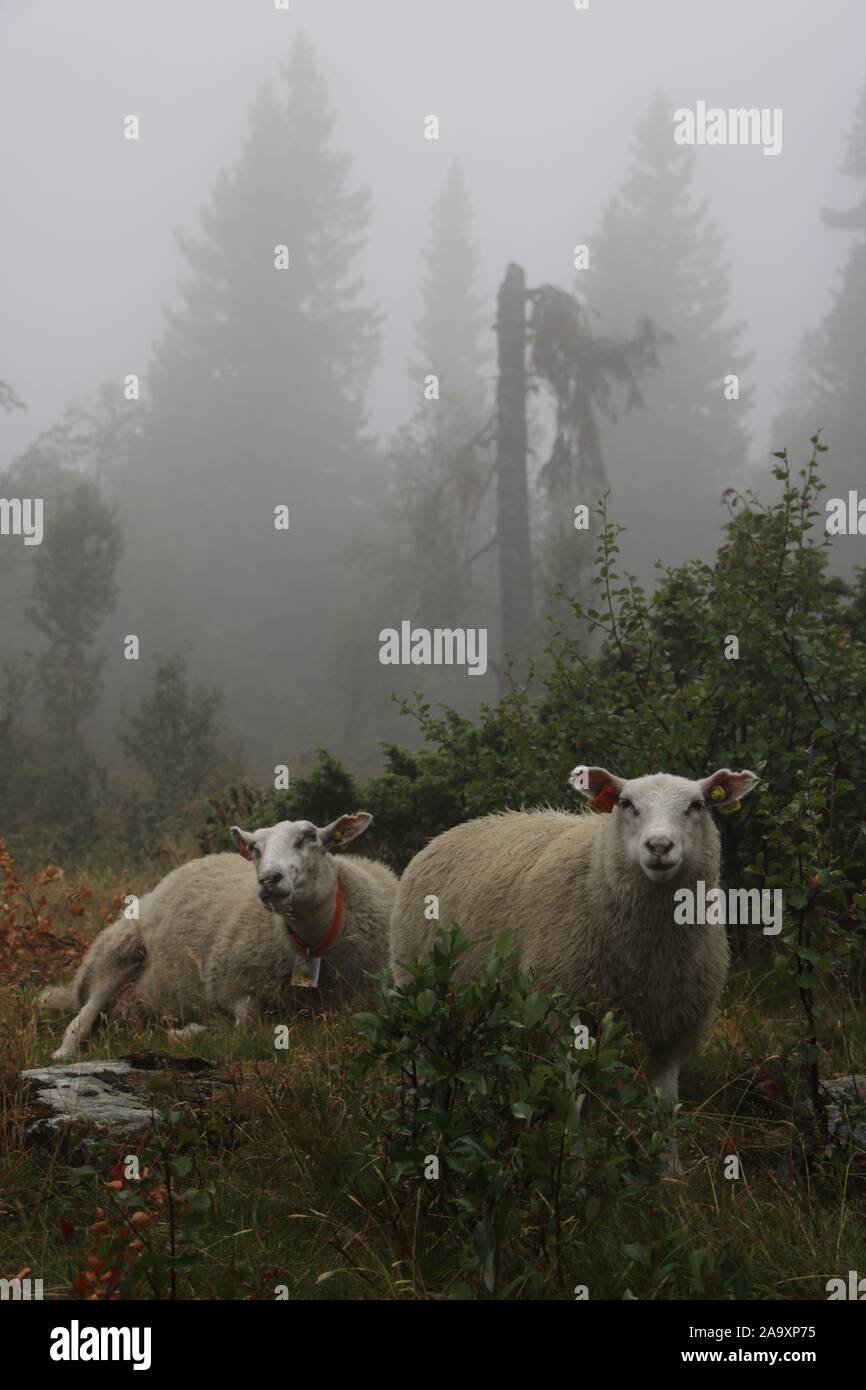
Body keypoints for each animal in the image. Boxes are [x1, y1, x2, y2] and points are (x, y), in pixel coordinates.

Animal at [41, 812, 397, 1060]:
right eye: (254, 847)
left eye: (310, 836)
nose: (269, 880)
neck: (312, 942)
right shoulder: (234, 986)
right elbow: (243, 1029)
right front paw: (191, 1032)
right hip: (114, 955)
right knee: (80, 1020)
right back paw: (63, 1052)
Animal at [390, 766, 759, 1130]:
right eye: (625, 803)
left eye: (697, 805)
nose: (659, 846)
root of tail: (453, 830)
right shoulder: (565, 1018)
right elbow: (574, 1110)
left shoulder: (676, 1032)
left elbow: (665, 1113)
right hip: (419, 993)